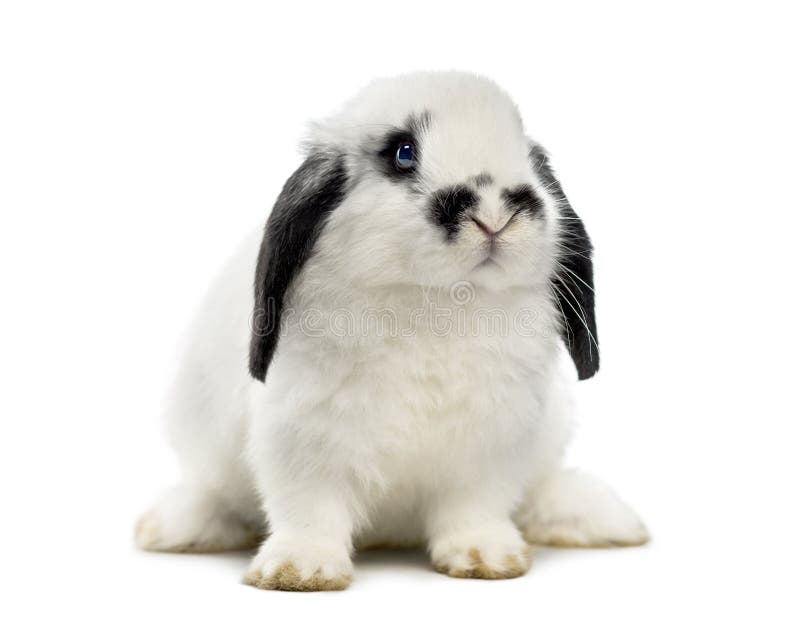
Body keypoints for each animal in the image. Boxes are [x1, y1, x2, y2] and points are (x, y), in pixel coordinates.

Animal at [135, 71, 649, 591]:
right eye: (403, 152)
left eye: (527, 152)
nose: (495, 214)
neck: (437, 300)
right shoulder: (302, 438)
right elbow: (308, 506)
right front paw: (299, 570)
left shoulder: (488, 449)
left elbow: (475, 507)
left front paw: (486, 557)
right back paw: (170, 528)